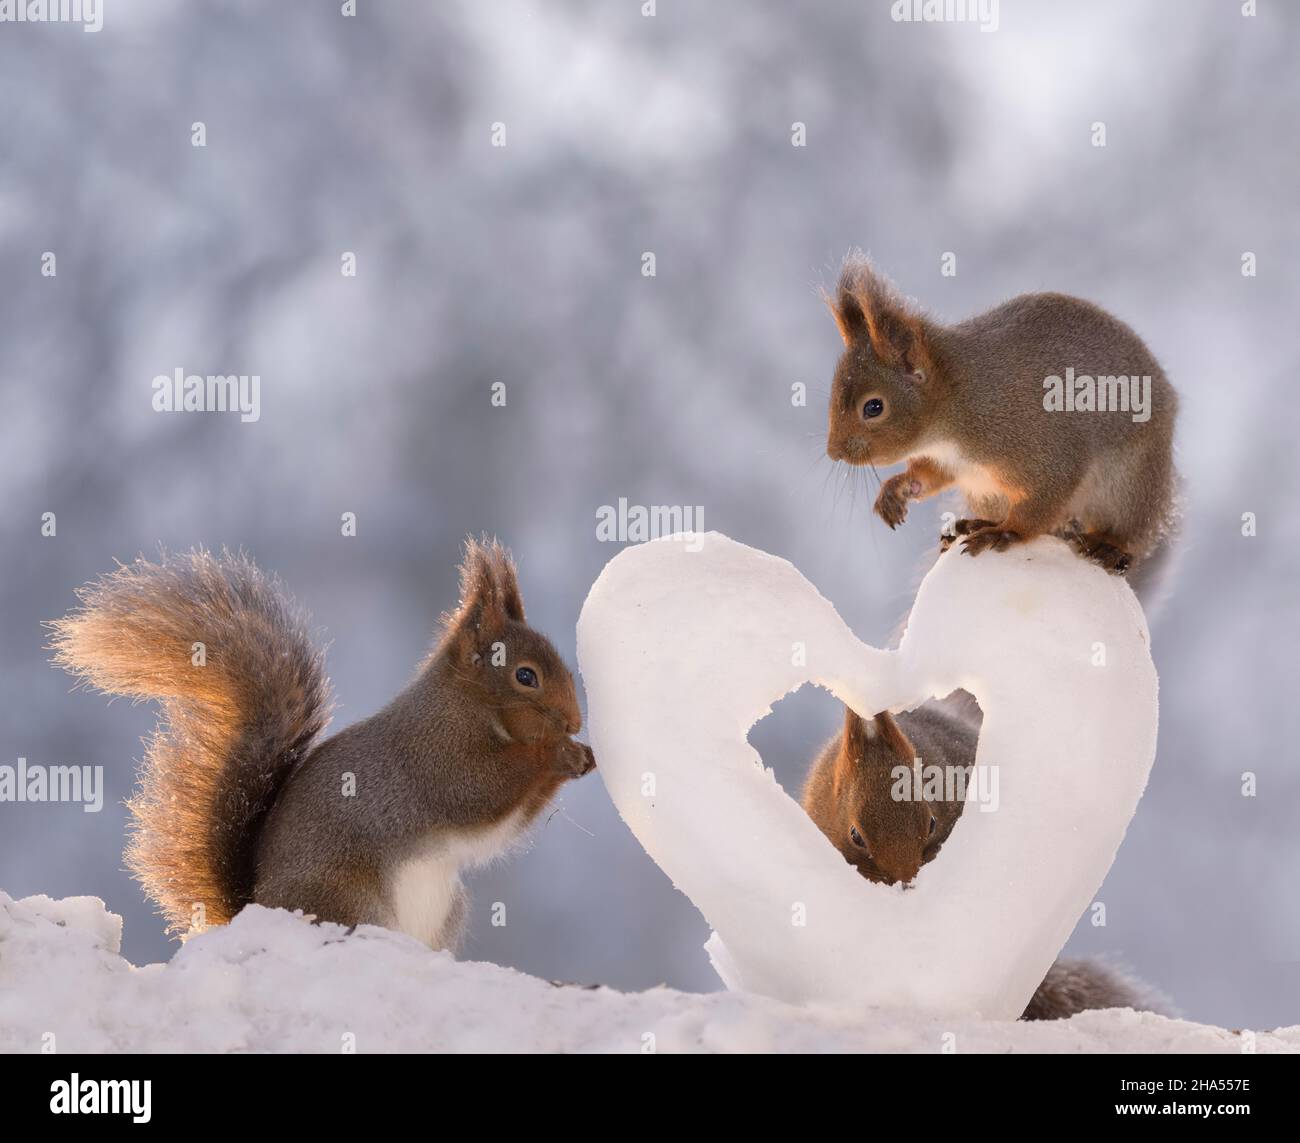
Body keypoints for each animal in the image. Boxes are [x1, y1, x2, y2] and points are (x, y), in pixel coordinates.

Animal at [49, 540, 596, 951]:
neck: (466, 705)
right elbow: (480, 790)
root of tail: (255, 908)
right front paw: (556, 751)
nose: (574, 720)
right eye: (526, 676)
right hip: (345, 898)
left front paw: (582, 754)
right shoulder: (432, 758)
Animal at [823, 253, 1179, 583]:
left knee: (1126, 532)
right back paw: (975, 523)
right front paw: (896, 489)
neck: (953, 415)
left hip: (1128, 485)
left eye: (873, 407)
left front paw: (1008, 533)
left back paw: (1107, 545)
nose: (834, 452)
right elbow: (929, 476)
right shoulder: (951, 463)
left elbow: (1045, 498)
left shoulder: (1040, 447)